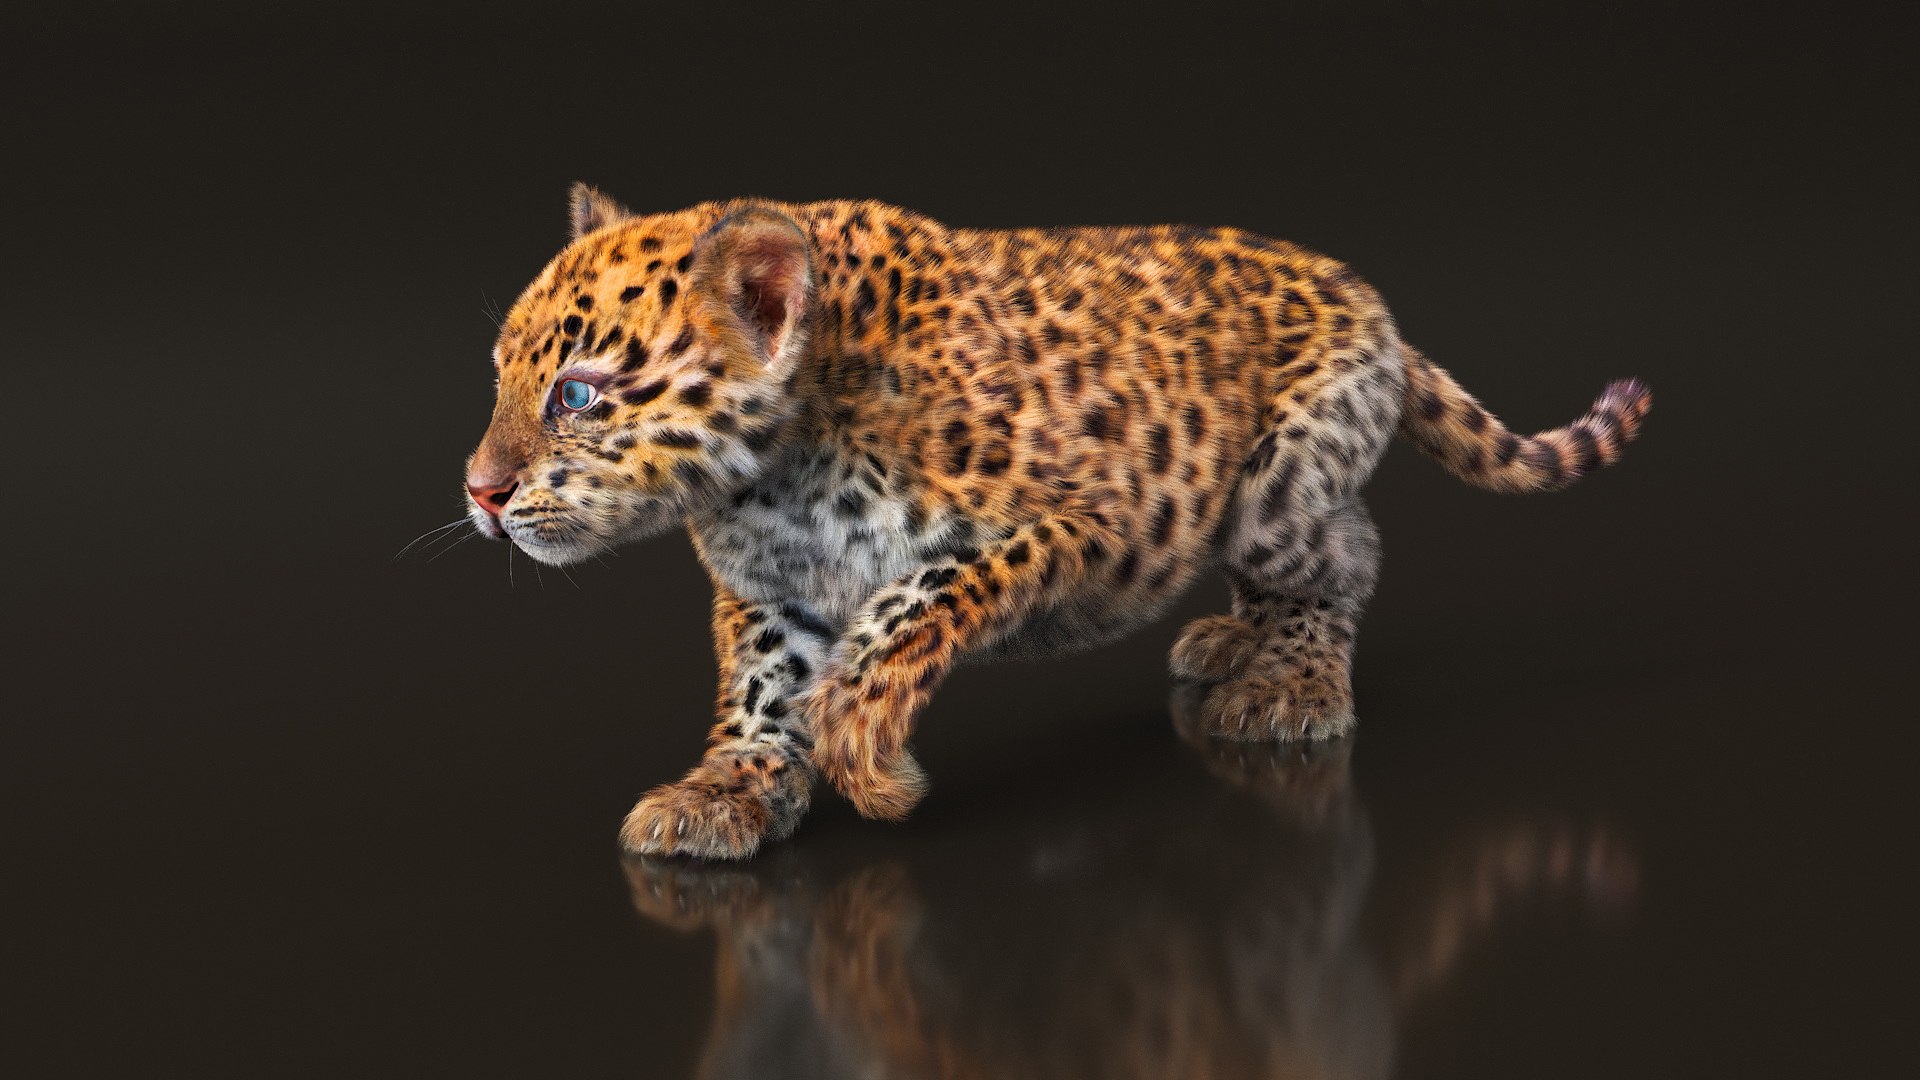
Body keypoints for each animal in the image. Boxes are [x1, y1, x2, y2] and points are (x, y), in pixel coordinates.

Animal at [459, 184, 1652, 860]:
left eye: (577, 393)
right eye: (500, 376)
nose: (477, 492)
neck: (776, 471)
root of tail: (1368, 297)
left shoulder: (1085, 517)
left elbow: (914, 600)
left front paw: (862, 747)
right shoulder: (770, 591)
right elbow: (759, 691)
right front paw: (728, 790)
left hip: (1279, 482)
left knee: (1342, 555)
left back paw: (1290, 683)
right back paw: (1232, 640)